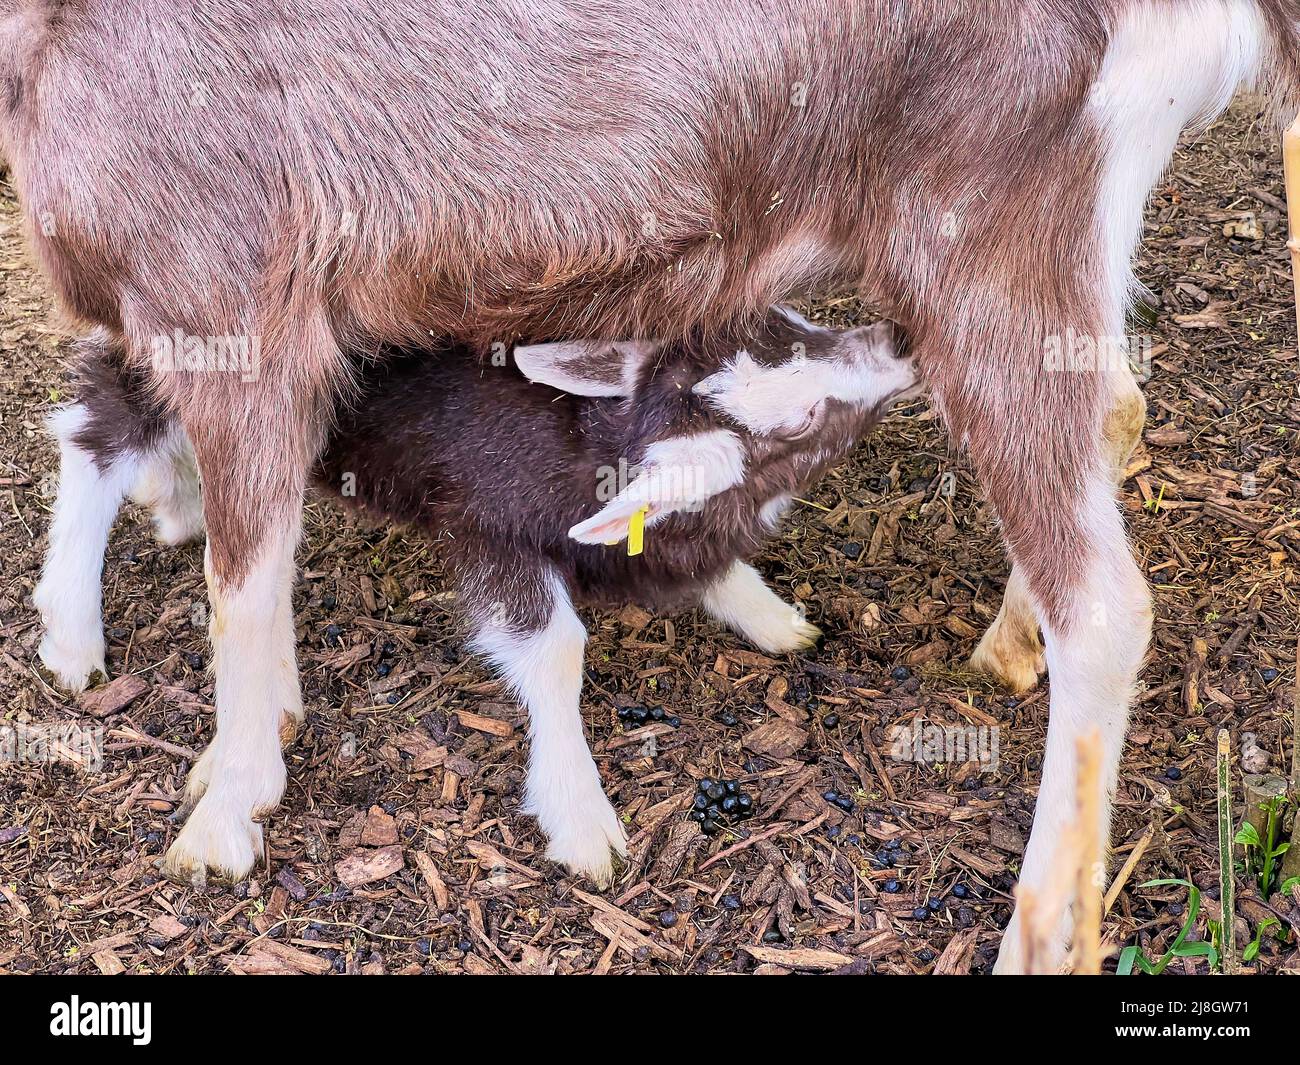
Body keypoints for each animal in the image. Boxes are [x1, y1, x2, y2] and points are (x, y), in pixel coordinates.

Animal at [7, 0, 1299, 971]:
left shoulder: (221, 288)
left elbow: (244, 572)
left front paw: (225, 813)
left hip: (992, 223)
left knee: (1107, 595)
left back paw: (1042, 934)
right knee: (1113, 417)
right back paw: (1005, 645)